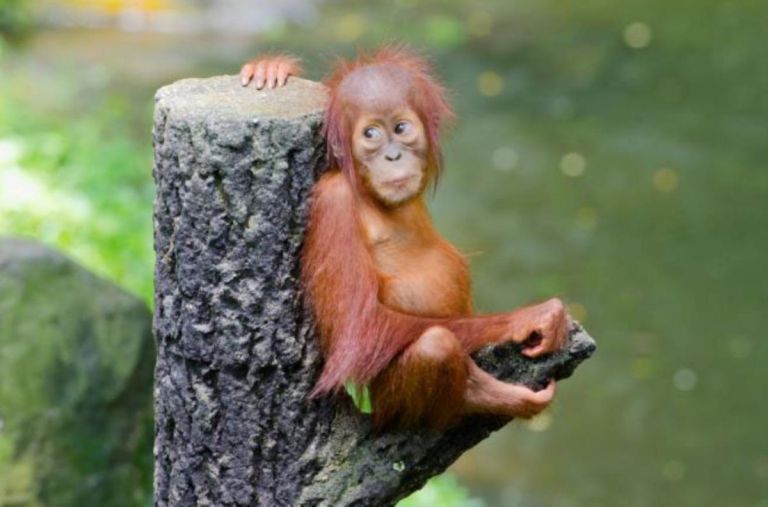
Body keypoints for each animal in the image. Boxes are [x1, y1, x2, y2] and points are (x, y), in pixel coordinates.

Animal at [241, 47, 570, 430]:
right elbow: (361, 327)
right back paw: (481, 393)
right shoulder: (334, 202)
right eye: (371, 134)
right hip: (377, 405)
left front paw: (271, 68)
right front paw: (529, 318)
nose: (393, 155)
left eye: (401, 128)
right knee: (436, 343)